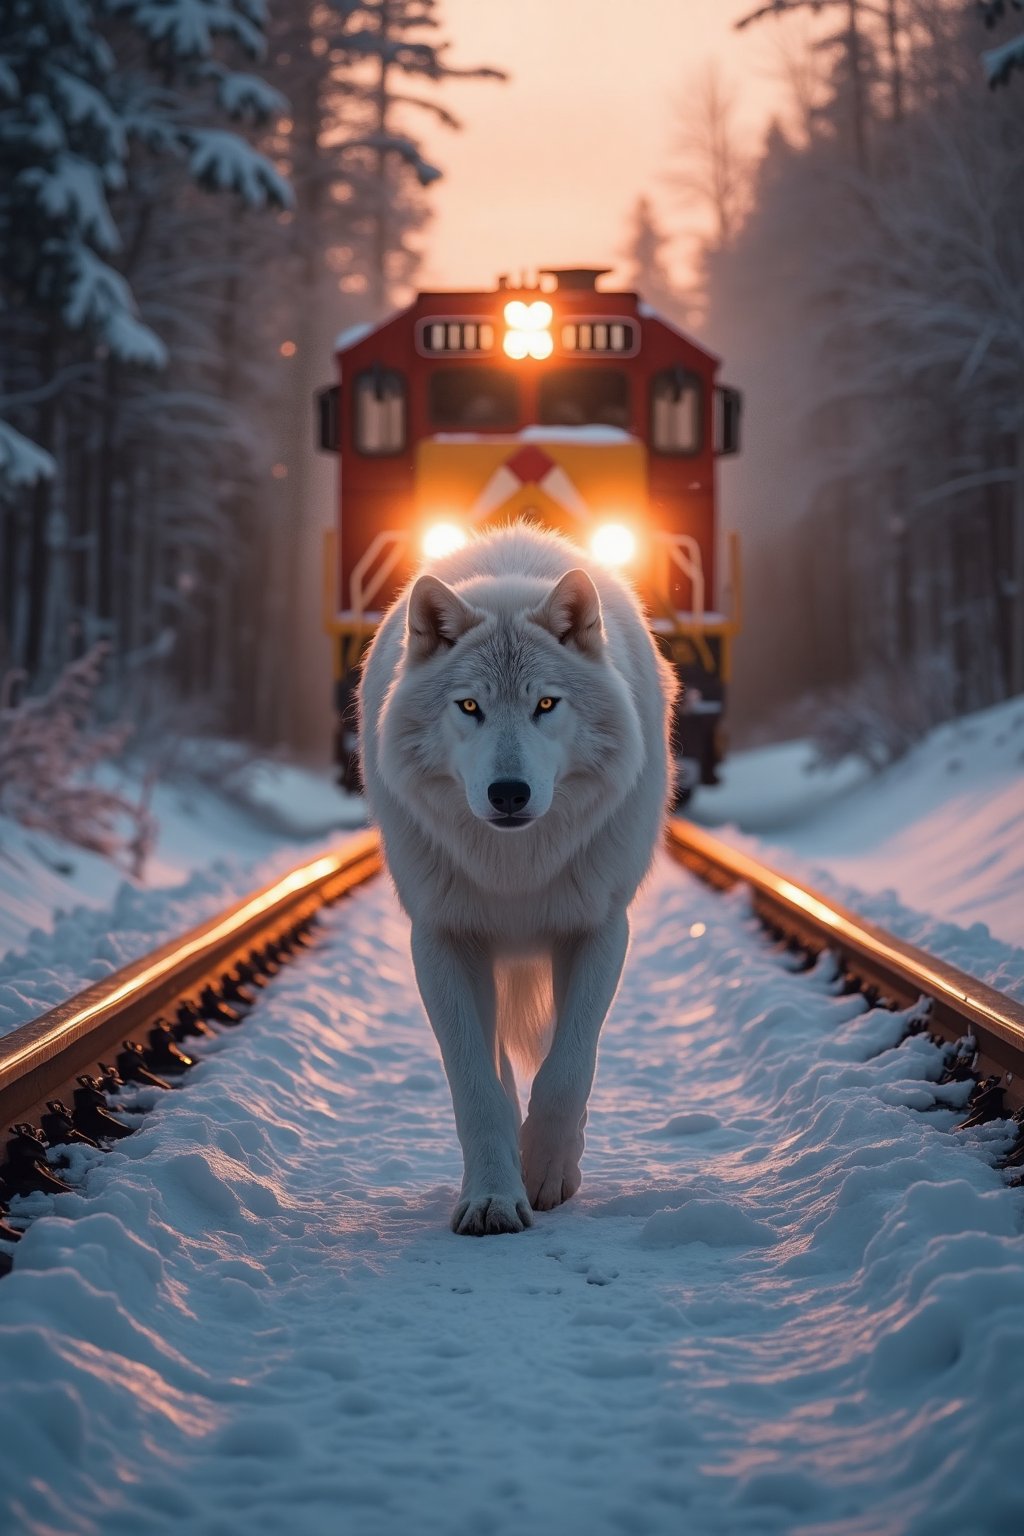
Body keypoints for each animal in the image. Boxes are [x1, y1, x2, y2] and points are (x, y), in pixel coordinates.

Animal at [359, 522, 676, 1235]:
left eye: (546, 705)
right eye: (470, 706)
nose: (508, 793)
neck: (515, 868)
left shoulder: (599, 928)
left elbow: (568, 1070)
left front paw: (548, 1171)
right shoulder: (443, 937)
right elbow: (477, 1086)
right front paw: (495, 1198)